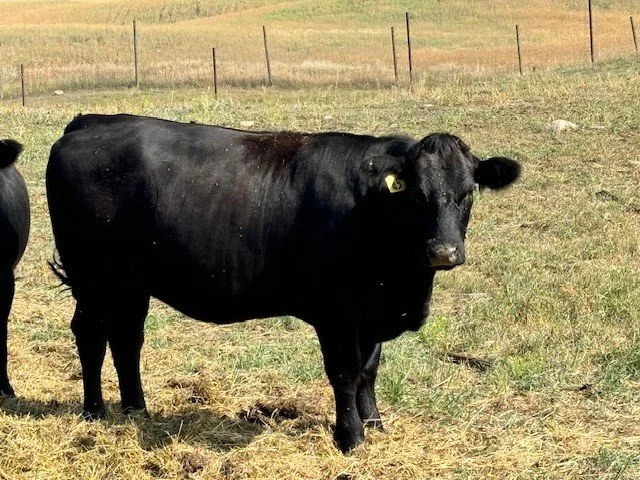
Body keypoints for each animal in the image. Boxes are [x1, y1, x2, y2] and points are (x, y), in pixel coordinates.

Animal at [46, 114, 520, 452]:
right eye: (415, 194)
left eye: (468, 192)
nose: (444, 251)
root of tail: (90, 122)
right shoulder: (337, 312)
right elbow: (345, 373)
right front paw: (351, 437)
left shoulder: (371, 312)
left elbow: (369, 371)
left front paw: (375, 423)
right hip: (92, 277)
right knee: (90, 335)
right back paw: (94, 412)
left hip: (130, 283)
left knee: (126, 338)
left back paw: (136, 409)